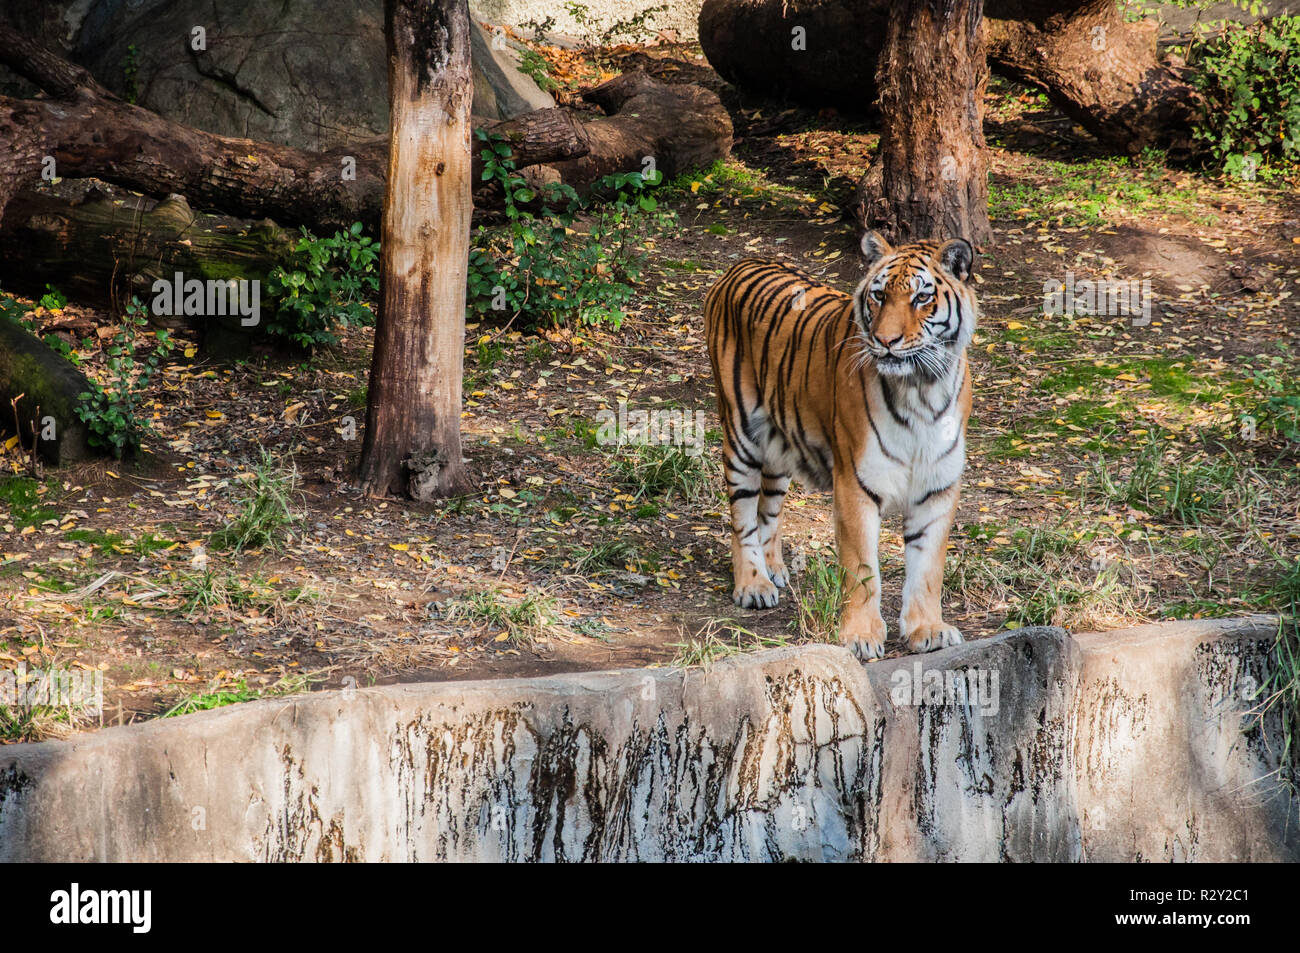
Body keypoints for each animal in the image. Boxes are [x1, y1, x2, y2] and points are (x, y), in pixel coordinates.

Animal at [703, 231, 977, 659]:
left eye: (921, 297)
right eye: (879, 295)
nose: (885, 341)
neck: (922, 389)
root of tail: (739, 264)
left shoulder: (937, 488)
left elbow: (928, 568)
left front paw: (928, 629)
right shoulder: (856, 484)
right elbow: (862, 567)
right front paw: (861, 636)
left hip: (780, 445)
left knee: (769, 510)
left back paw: (773, 568)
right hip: (741, 433)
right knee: (742, 516)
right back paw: (753, 583)